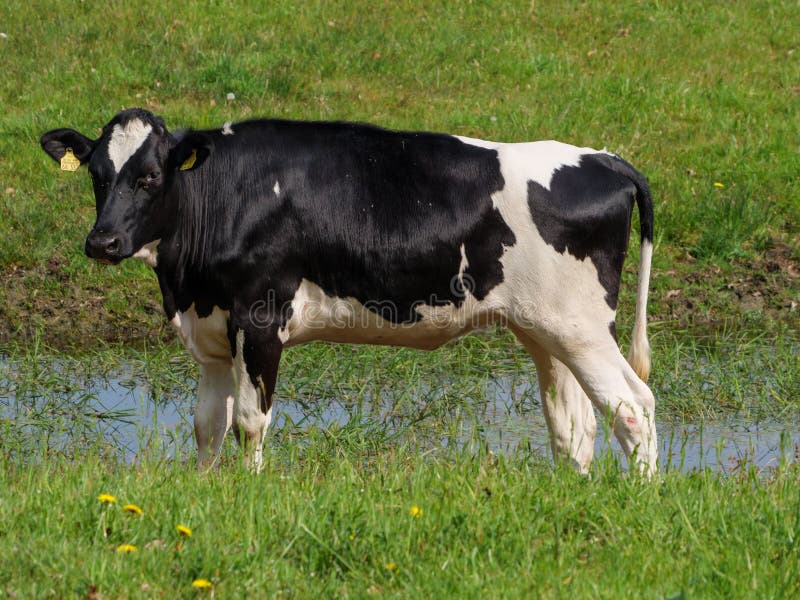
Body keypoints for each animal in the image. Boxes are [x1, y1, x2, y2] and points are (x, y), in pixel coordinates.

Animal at [40, 108, 657, 474]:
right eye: (97, 174)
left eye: (149, 176)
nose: (102, 241)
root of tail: (602, 158)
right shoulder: (212, 330)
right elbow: (207, 427)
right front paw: (207, 493)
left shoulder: (260, 319)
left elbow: (249, 422)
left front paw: (247, 497)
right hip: (544, 329)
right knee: (573, 426)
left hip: (581, 327)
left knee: (633, 407)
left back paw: (642, 499)